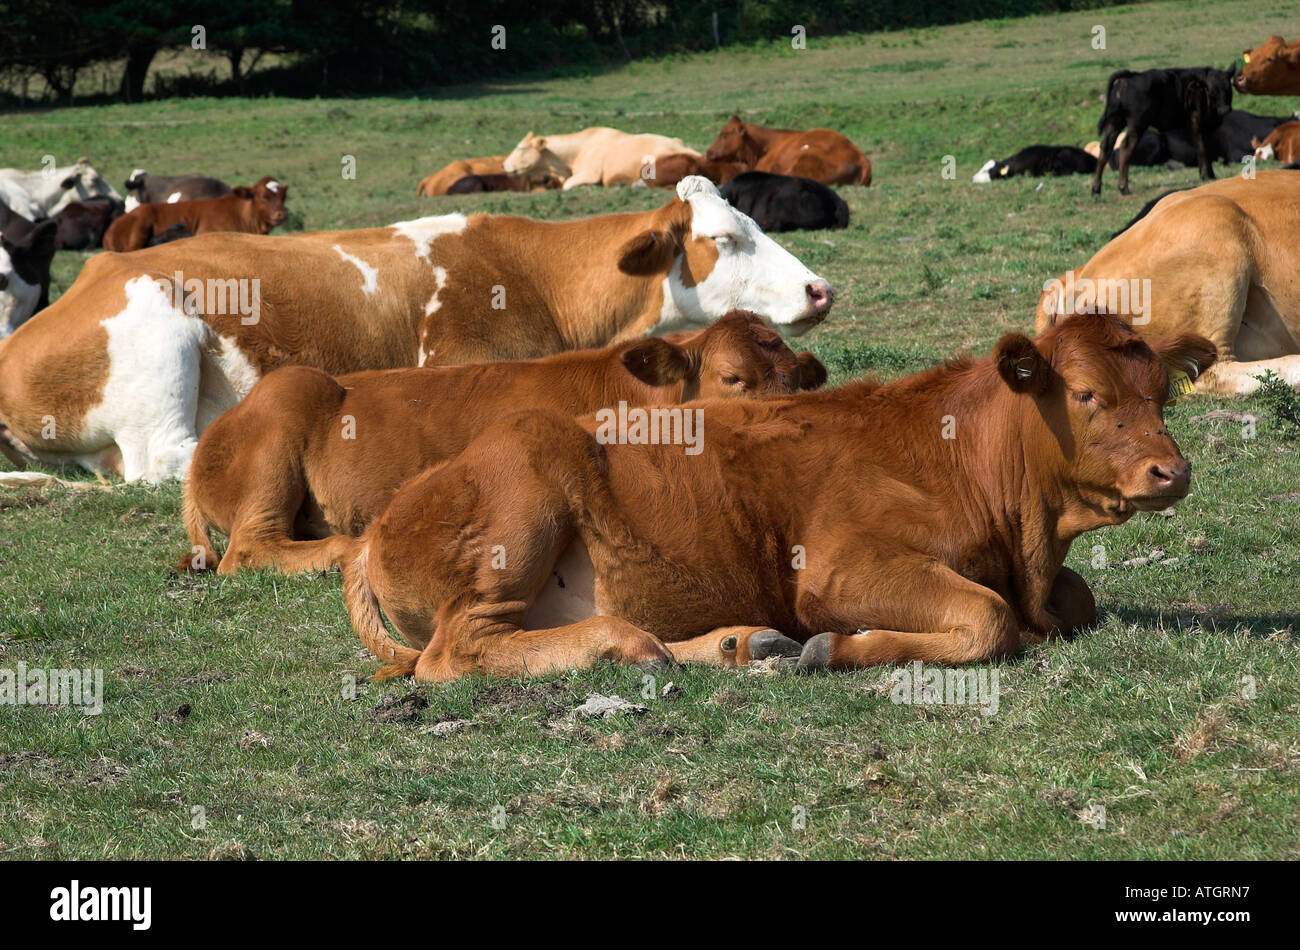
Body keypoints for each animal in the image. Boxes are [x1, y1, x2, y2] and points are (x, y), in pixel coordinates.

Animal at [340, 312, 1216, 682]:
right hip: (522, 500)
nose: (1171, 472)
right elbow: (989, 620)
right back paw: (626, 644)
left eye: (1161, 392)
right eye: (1086, 394)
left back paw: (734, 644)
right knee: (457, 652)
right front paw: (838, 648)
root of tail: (380, 521)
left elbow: (1076, 599)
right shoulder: (840, 568)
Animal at [1092, 66, 1237, 195]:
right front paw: (1206, 175)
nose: (1225, 109)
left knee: (1106, 147)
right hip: (1137, 124)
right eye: (1212, 92)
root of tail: (1128, 77)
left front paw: (1210, 174)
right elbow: (1201, 148)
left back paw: (1096, 189)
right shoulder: (1196, 121)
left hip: (1115, 122)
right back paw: (1123, 187)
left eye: (1228, 89)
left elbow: (1207, 148)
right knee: (1126, 147)